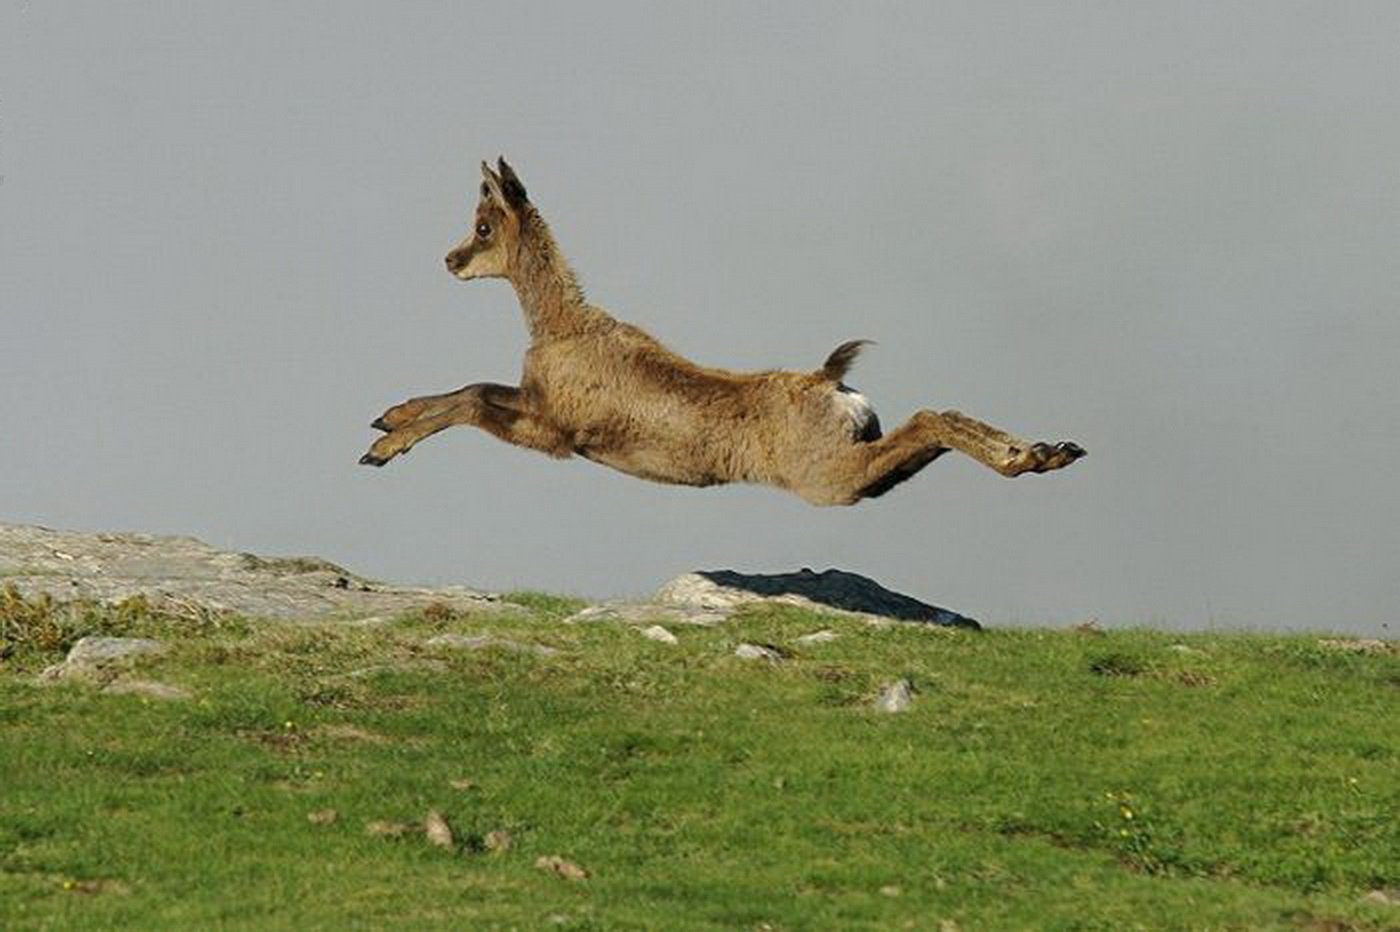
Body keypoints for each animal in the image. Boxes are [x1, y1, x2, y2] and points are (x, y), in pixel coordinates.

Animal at [359, 158, 1085, 505]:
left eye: (484, 226)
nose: (450, 260)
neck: (566, 327)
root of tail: (835, 384)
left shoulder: (558, 431)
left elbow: (474, 400)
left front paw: (382, 448)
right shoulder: (537, 403)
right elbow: (473, 385)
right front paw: (388, 417)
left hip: (827, 477)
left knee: (928, 420)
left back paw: (1036, 454)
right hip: (858, 467)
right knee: (930, 425)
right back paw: (1046, 451)